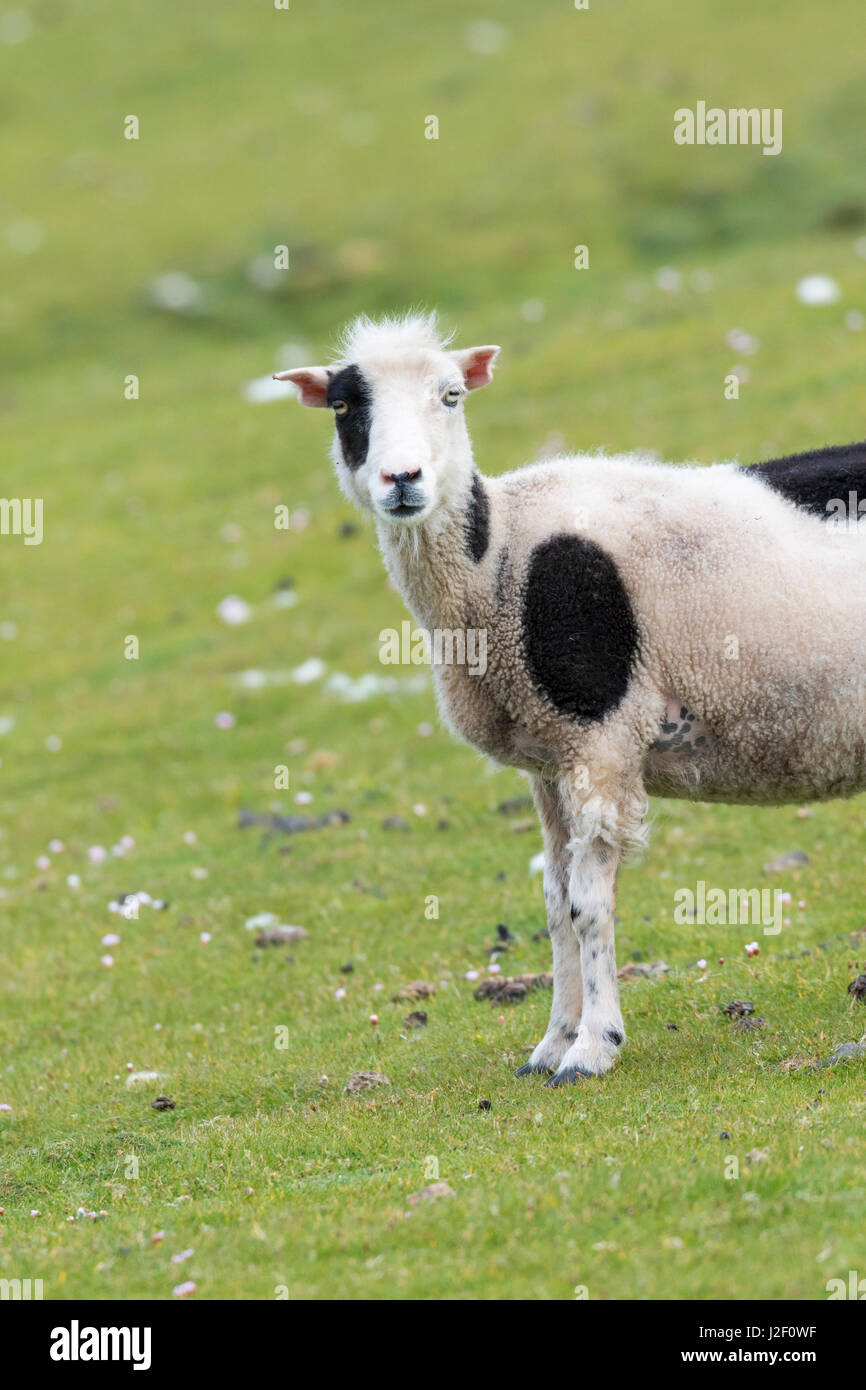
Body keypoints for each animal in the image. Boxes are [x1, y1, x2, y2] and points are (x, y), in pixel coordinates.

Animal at [275, 312, 866, 1086]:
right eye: (345, 405)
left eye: (451, 395)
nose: (402, 479)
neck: (497, 559)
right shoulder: (549, 757)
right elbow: (555, 903)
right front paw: (551, 1043)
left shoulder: (599, 737)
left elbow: (588, 905)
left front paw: (593, 1049)